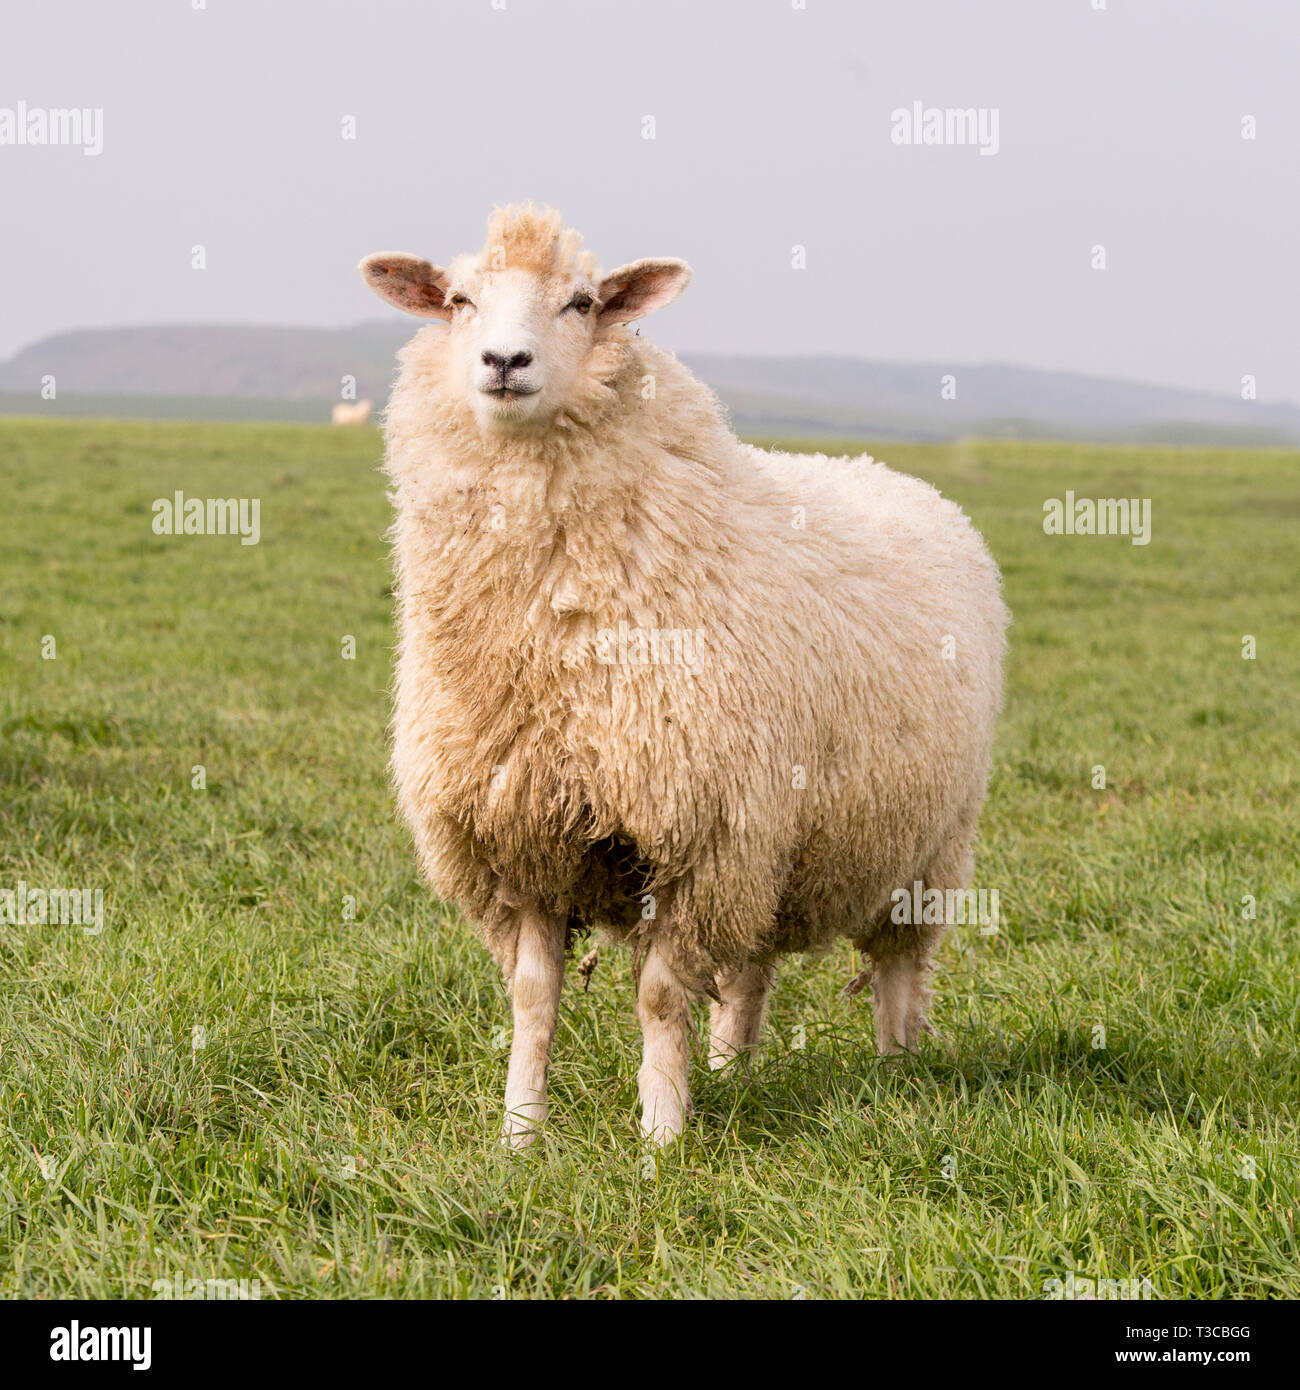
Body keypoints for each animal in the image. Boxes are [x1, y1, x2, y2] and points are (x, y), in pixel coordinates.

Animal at [361, 204, 1009, 1148]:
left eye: (583, 303)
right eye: (457, 300)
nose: (505, 363)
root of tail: (888, 473)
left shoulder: (700, 834)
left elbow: (661, 999)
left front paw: (661, 1138)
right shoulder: (526, 830)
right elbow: (532, 1000)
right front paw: (520, 1134)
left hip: (922, 844)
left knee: (896, 971)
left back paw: (896, 1076)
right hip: (780, 848)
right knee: (749, 974)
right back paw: (733, 1071)